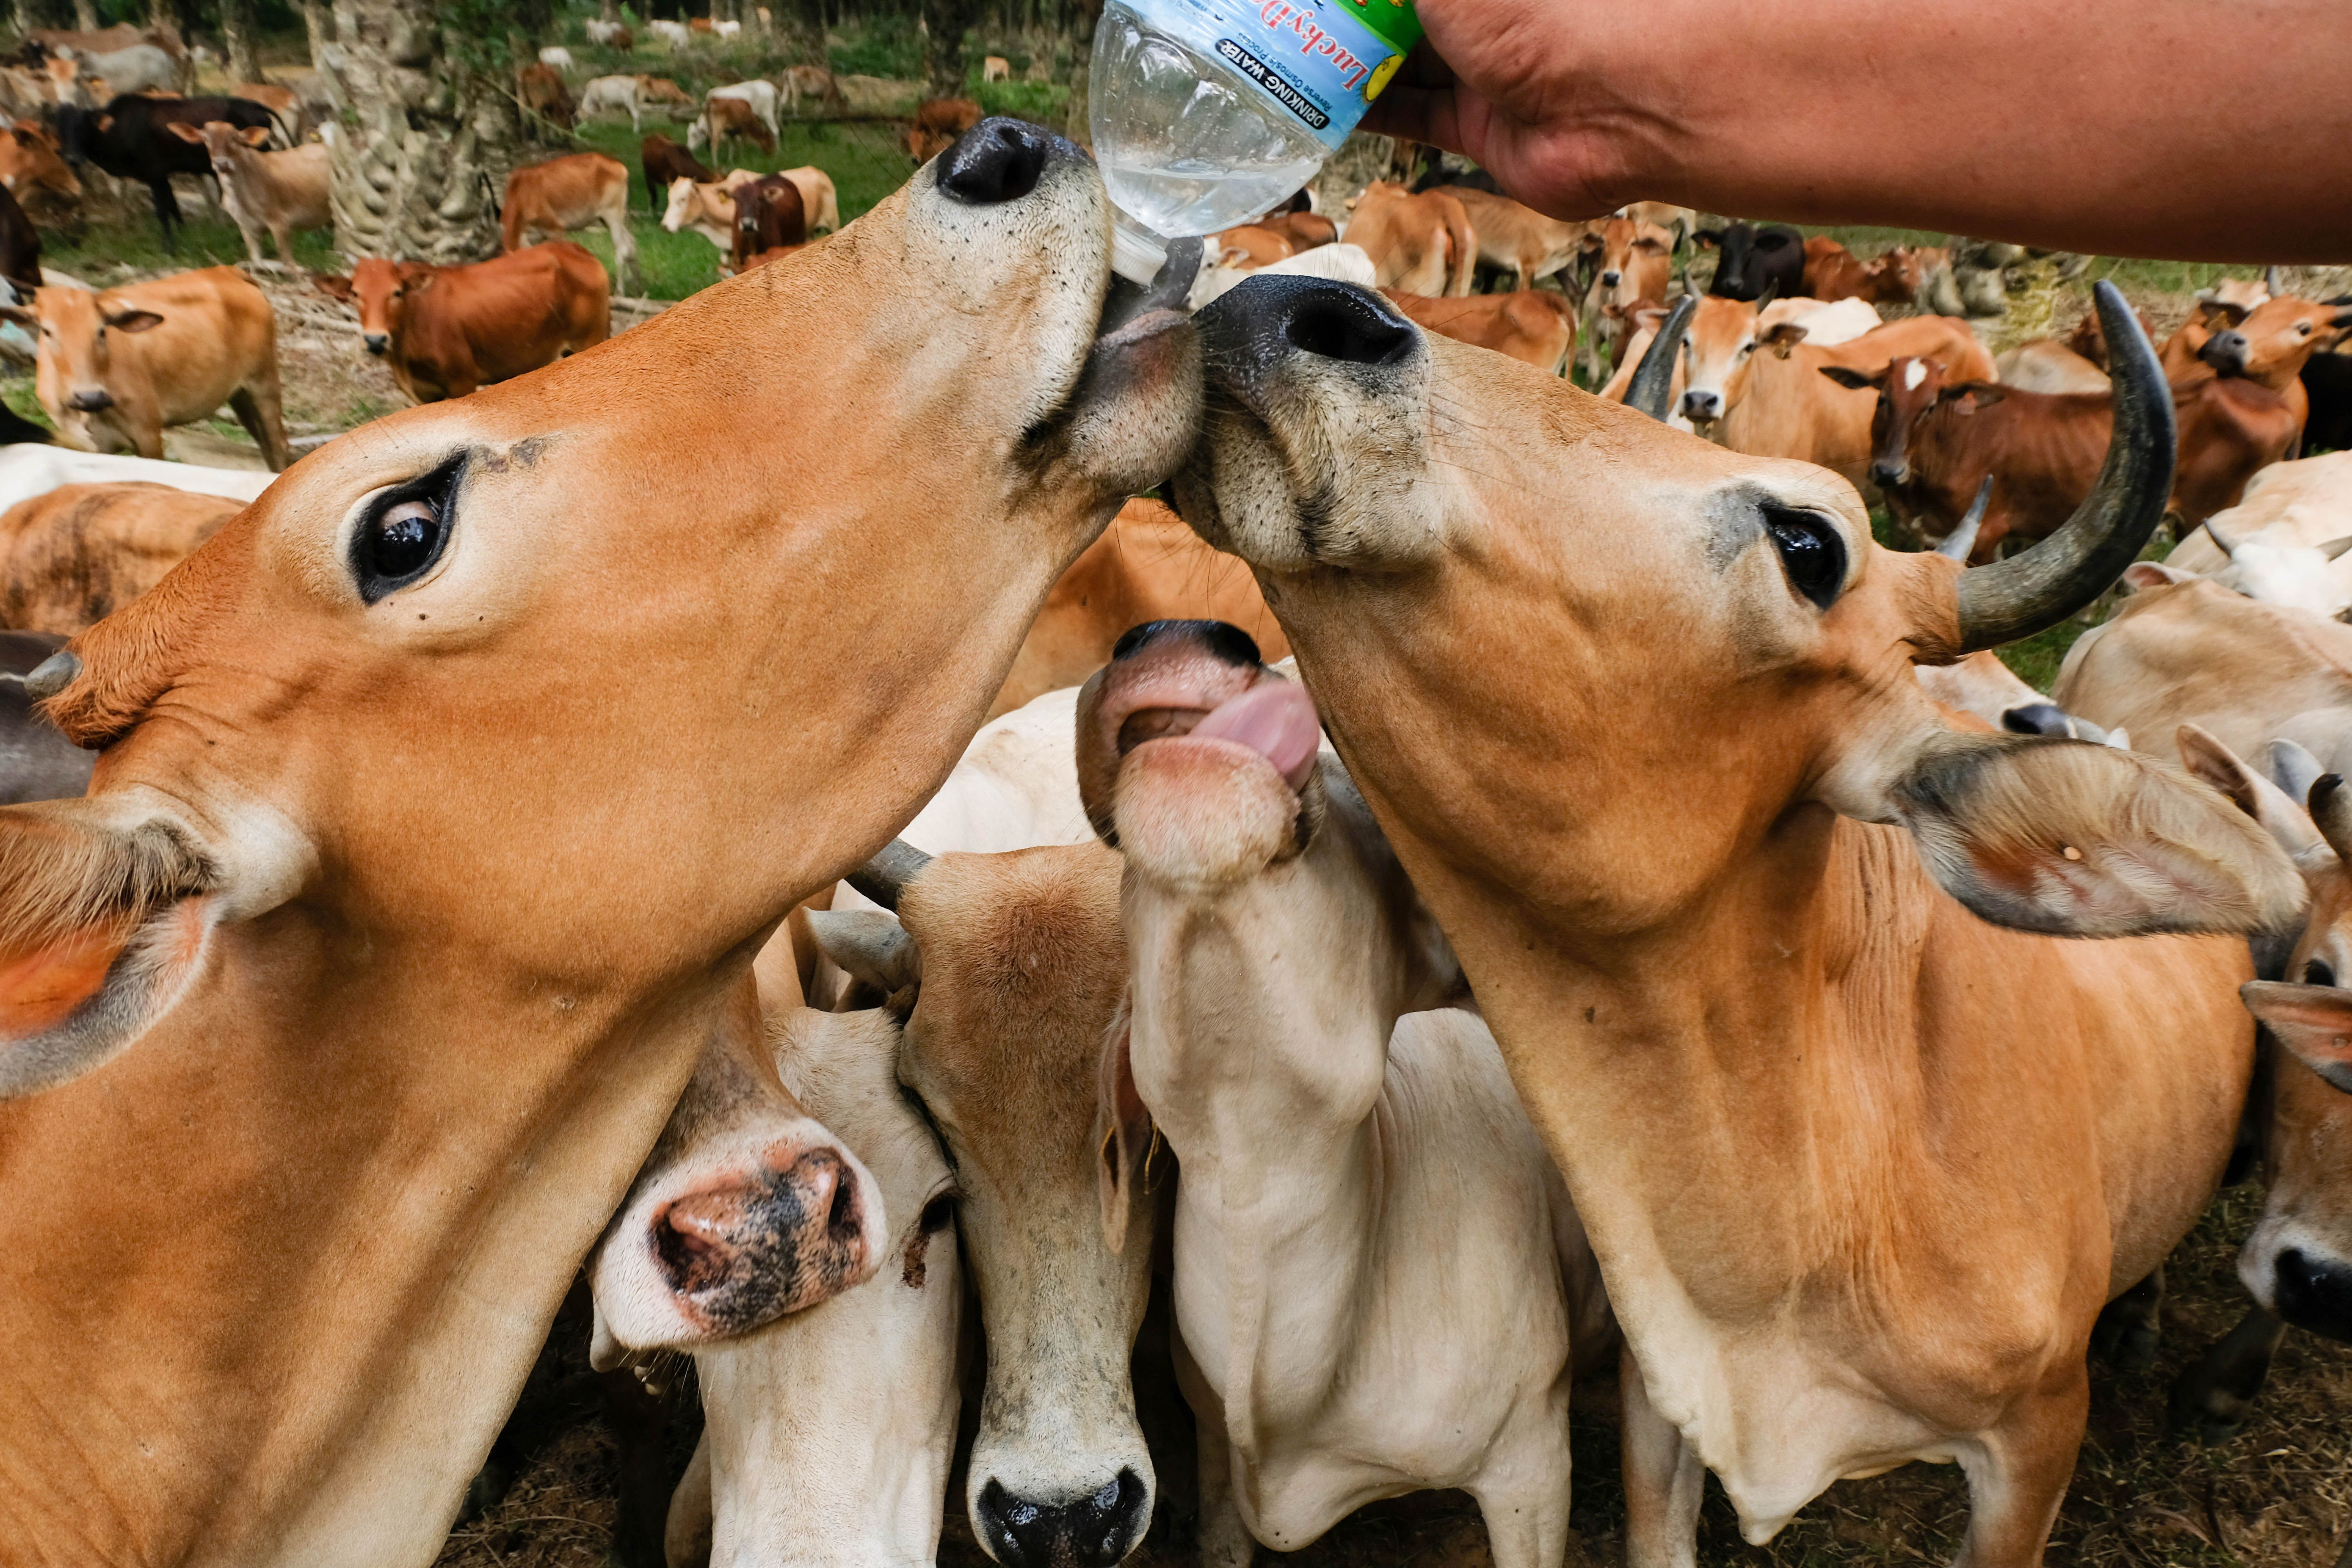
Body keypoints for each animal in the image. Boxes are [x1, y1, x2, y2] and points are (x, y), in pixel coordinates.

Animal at [0, 269, 289, 469]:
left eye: (102, 330)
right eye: (47, 331)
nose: (90, 397)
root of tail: (227, 271)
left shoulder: (148, 435)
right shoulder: (86, 442)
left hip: (264, 382)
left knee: (277, 446)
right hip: (240, 395)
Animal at [55, 92, 278, 248]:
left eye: (83, 126)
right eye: (59, 129)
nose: (73, 159)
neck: (118, 129)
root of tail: (252, 105)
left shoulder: (155, 174)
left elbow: (162, 211)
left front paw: (169, 248)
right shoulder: (161, 176)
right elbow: (173, 206)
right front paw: (183, 233)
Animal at [164, 120, 329, 267]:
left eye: (234, 138)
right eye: (206, 138)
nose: (222, 164)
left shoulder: (280, 222)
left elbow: (288, 262)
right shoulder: (246, 227)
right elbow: (257, 263)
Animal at [316, 243, 611, 405]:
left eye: (397, 292)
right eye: (356, 294)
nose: (375, 340)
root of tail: (578, 251)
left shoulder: (463, 381)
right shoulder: (422, 394)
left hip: (590, 341)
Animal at [502, 152, 637, 295]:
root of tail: (619, 166)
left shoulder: (556, 229)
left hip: (613, 213)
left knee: (622, 248)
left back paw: (620, 292)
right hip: (606, 219)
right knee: (632, 242)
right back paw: (637, 287)